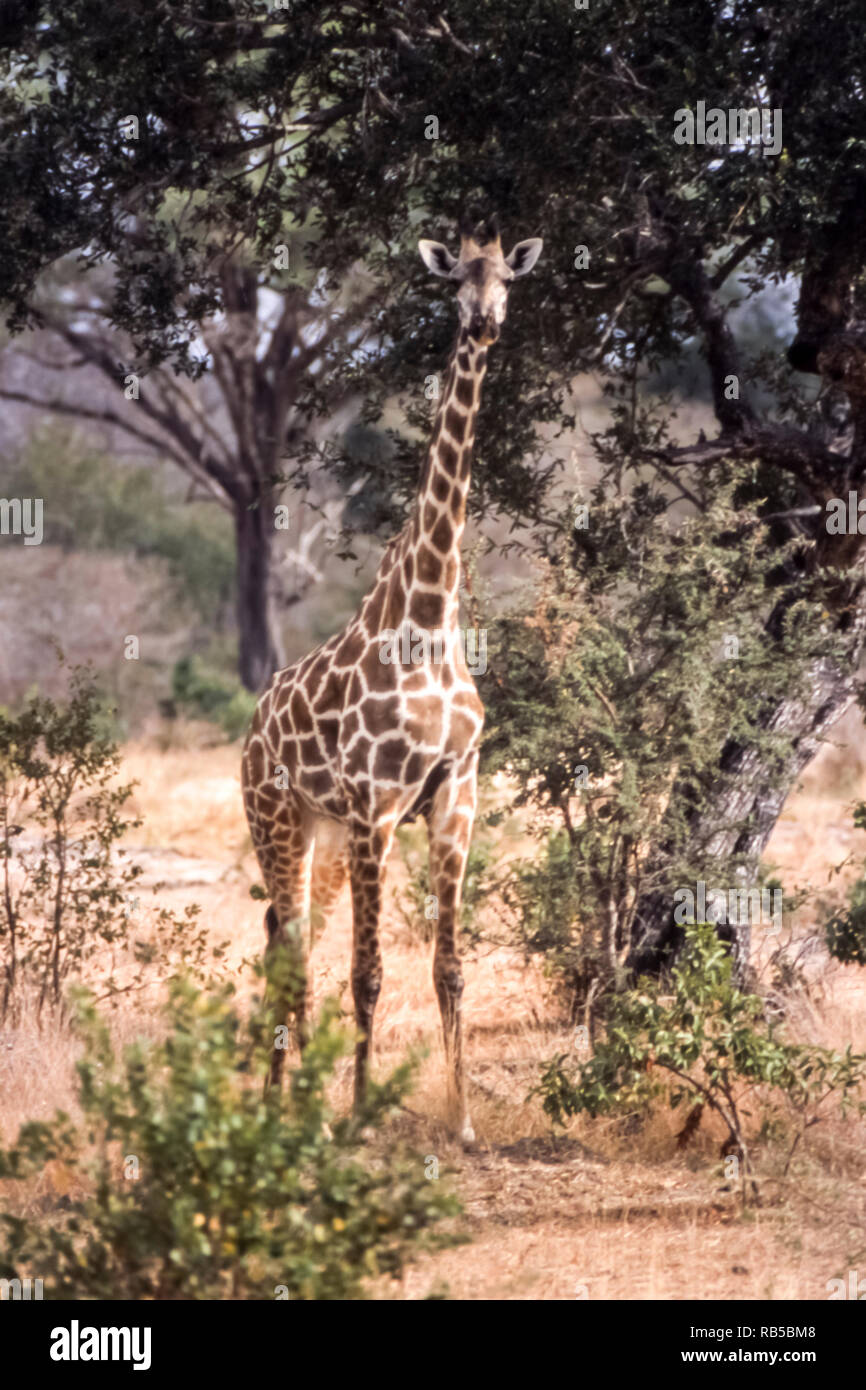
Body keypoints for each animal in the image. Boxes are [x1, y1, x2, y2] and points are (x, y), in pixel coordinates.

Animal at [241, 213, 543, 1144]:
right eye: (456, 280)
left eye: (508, 281)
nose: (484, 323)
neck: (431, 617)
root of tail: (250, 728)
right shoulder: (377, 803)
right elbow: (369, 973)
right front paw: (361, 1117)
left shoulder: (456, 793)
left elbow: (448, 967)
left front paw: (465, 1122)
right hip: (277, 819)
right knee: (290, 946)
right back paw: (291, 1108)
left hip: (324, 834)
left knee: (288, 938)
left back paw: (292, 1098)